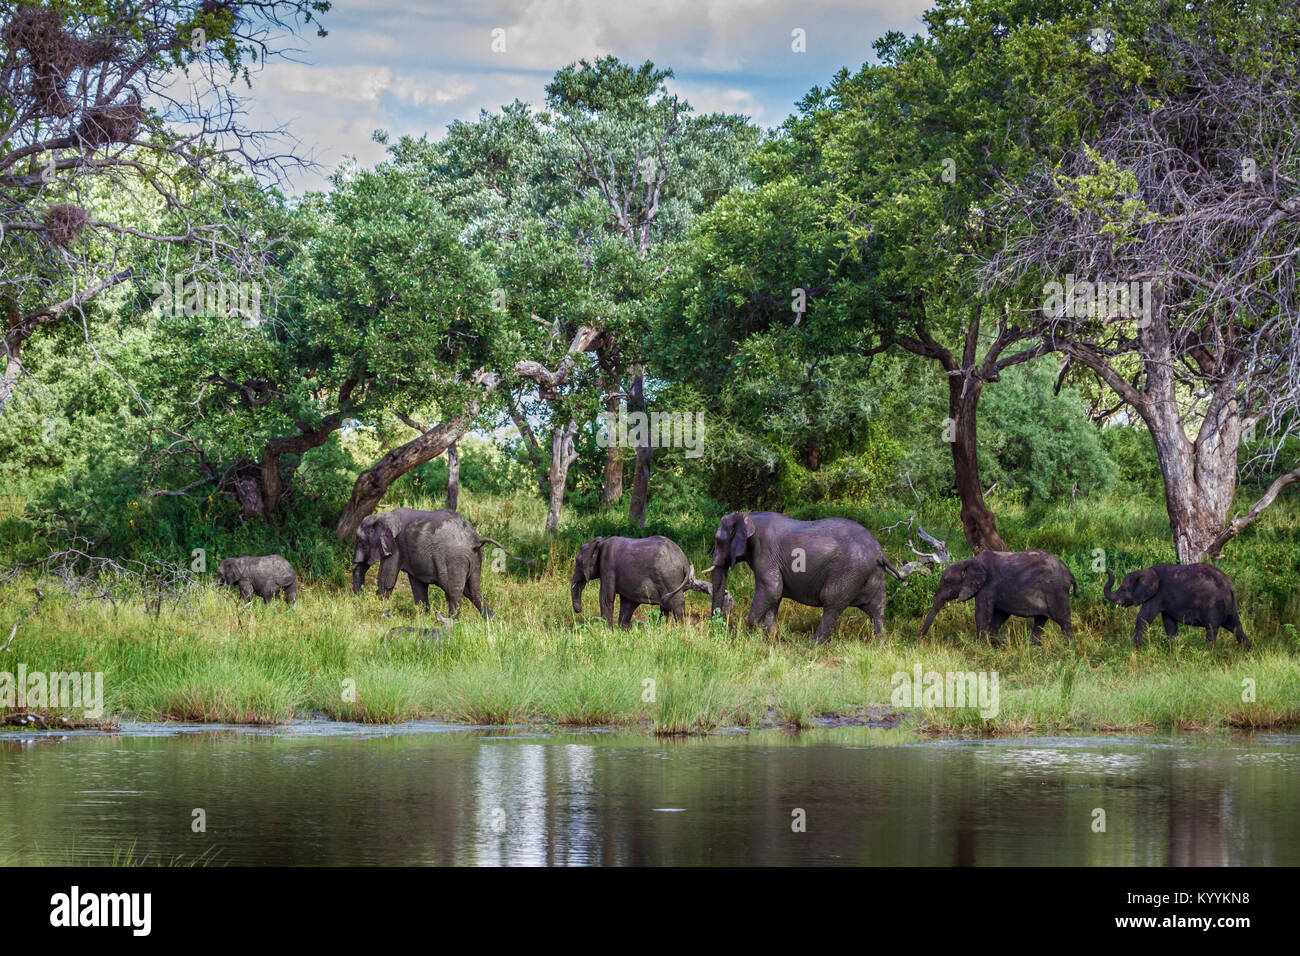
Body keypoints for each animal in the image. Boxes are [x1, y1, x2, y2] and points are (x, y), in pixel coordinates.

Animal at [392, 510, 528, 617]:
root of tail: (476, 538)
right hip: (474, 556)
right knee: (473, 590)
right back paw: (492, 619)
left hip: (455, 558)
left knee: (453, 591)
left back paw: (451, 621)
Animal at [571, 535, 733, 627]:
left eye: (578, 562)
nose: (579, 610)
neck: (600, 543)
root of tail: (685, 563)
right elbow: (628, 602)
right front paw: (623, 629)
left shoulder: (607, 565)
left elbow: (606, 597)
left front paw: (607, 630)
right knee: (667, 605)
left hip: (669, 577)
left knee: (676, 602)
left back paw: (678, 628)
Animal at [706, 512, 904, 643]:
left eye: (718, 541)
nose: (717, 626)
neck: (749, 517)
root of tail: (880, 552)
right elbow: (775, 595)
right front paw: (771, 636)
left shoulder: (765, 551)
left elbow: (772, 589)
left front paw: (756, 632)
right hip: (872, 574)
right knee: (876, 608)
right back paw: (880, 643)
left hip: (850, 571)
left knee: (832, 603)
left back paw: (811, 644)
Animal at [918, 549, 1075, 644]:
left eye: (946, 582)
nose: (917, 642)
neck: (969, 561)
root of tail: (1069, 572)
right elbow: (999, 615)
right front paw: (1001, 639)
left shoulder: (988, 586)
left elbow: (982, 614)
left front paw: (982, 646)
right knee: (1040, 621)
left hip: (1057, 591)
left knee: (1063, 621)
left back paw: (1068, 648)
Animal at [1104, 563, 1251, 648]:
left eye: (1123, 589)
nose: (1104, 570)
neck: (1144, 571)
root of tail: (1230, 587)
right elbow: (1169, 623)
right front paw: (1173, 650)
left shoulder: (1157, 595)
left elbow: (1143, 618)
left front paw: (1135, 650)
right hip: (1229, 606)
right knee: (1236, 626)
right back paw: (1247, 651)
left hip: (1214, 604)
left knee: (1212, 629)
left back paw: (1207, 653)